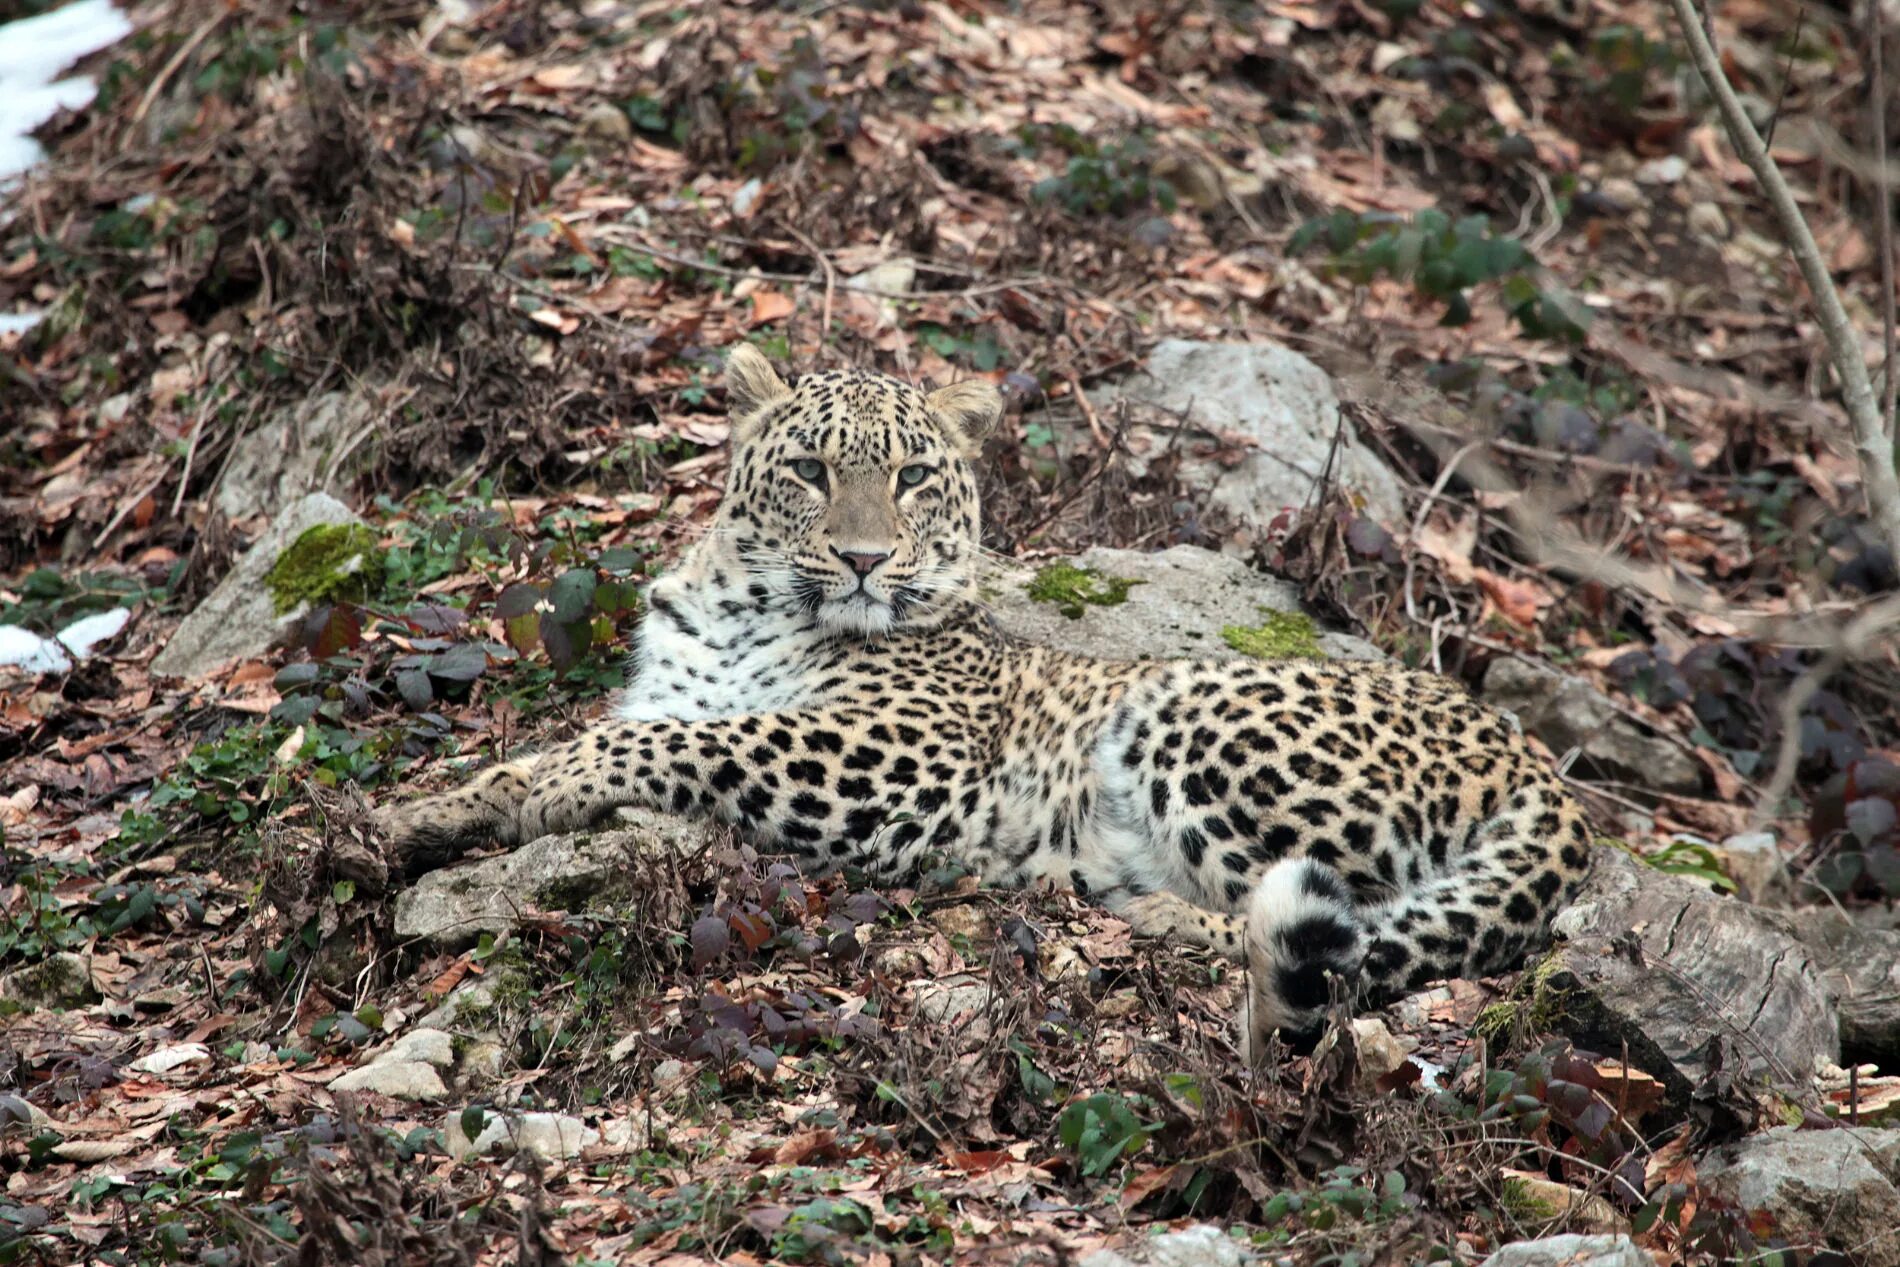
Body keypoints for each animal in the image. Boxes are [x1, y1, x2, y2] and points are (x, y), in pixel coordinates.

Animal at [370, 347, 1588, 1063]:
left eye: (913, 477)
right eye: (809, 470)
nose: (864, 560)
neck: (741, 606)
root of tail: (1543, 767)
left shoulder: (899, 754)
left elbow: (687, 736)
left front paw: (541, 789)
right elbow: (596, 737)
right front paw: (421, 814)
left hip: (1192, 712)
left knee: (1330, 936)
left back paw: (1145, 917)